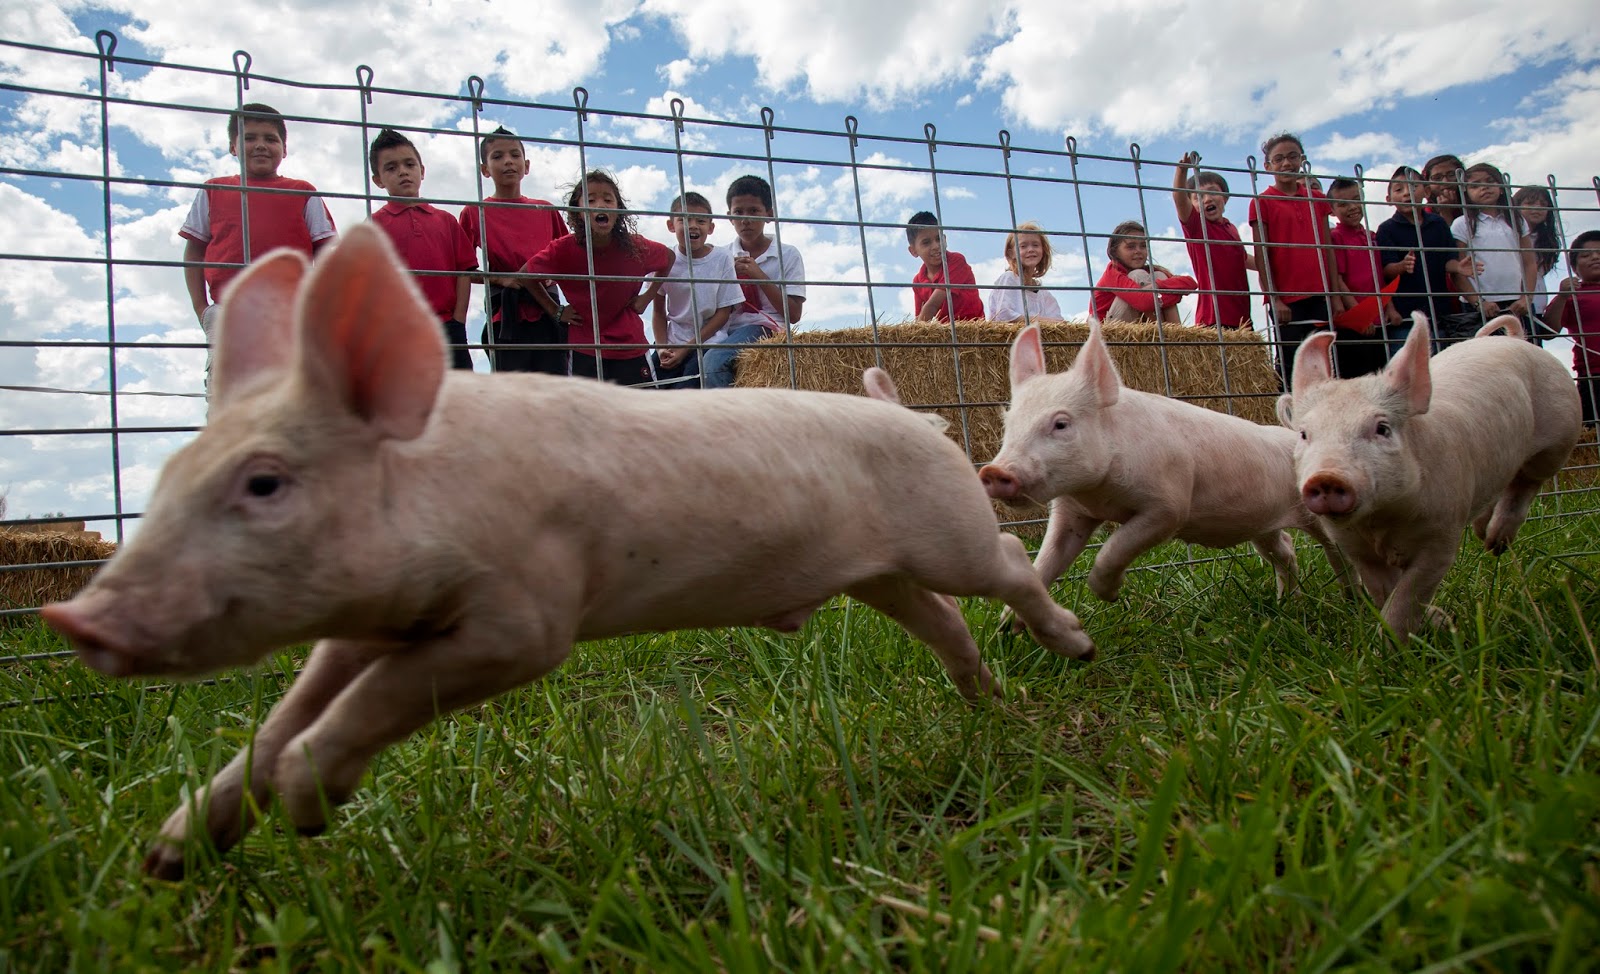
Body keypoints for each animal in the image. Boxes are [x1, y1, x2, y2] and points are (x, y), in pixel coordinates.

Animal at [40, 224, 1096, 879]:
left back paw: (1075, 649)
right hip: (876, 574)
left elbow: (372, 705)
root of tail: (909, 411)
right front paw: (169, 857)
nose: (73, 616)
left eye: (263, 484)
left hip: (947, 532)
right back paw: (985, 703)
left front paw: (308, 811)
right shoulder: (364, 624)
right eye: (172, 471)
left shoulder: (522, 619)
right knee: (941, 619)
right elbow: (285, 716)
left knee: (1002, 563)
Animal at [978, 320, 1346, 605]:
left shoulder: (1169, 505)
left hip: (1317, 513)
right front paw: (1009, 628)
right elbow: (1046, 561)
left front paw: (1109, 595)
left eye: (1061, 424)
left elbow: (1114, 547)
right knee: (1285, 550)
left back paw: (1350, 597)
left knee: (1332, 549)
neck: (1101, 495)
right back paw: (1288, 603)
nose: (993, 471)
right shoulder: (1073, 512)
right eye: (1008, 423)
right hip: (1261, 524)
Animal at [1277, 312, 1580, 640]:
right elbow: (1384, 591)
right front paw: (1440, 622)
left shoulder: (1442, 533)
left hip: (1560, 437)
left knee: (1527, 482)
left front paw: (1395, 645)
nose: (1326, 476)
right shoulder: (1355, 548)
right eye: (1304, 434)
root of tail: (1515, 339)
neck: (1380, 523)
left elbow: (1408, 595)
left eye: (1382, 428)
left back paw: (1496, 543)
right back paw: (1485, 537)